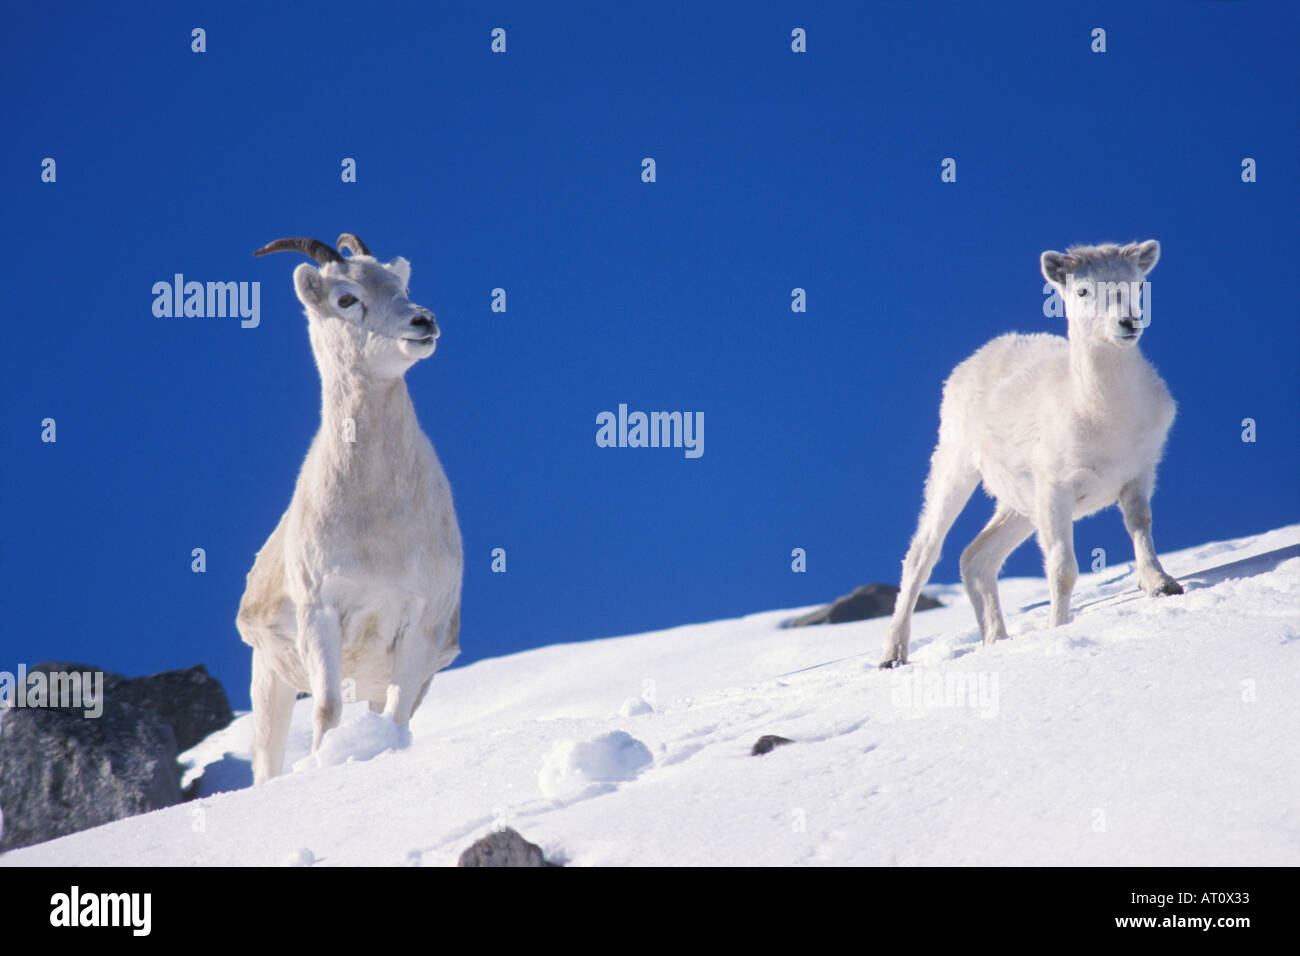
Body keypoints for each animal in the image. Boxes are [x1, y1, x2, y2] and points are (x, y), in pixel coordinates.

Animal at [237, 233, 463, 782]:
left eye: (400, 285)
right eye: (346, 299)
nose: (422, 322)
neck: (377, 524)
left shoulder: (420, 627)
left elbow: (397, 716)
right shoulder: (322, 616)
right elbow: (327, 709)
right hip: (269, 680)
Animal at [879, 240, 1182, 668]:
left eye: (1137, 285)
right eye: (1082, 290)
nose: (1127, 324)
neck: (1104, 413)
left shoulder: (1137, 477)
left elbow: (1141, 527)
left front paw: (1162, 585)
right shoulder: (1055, 491)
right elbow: (1062, 568)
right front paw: (1059, 626)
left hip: (1019, 505)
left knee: (976, 558)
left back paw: (996, 640)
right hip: (955, 467)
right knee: (923, 553)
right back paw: (893, 655)